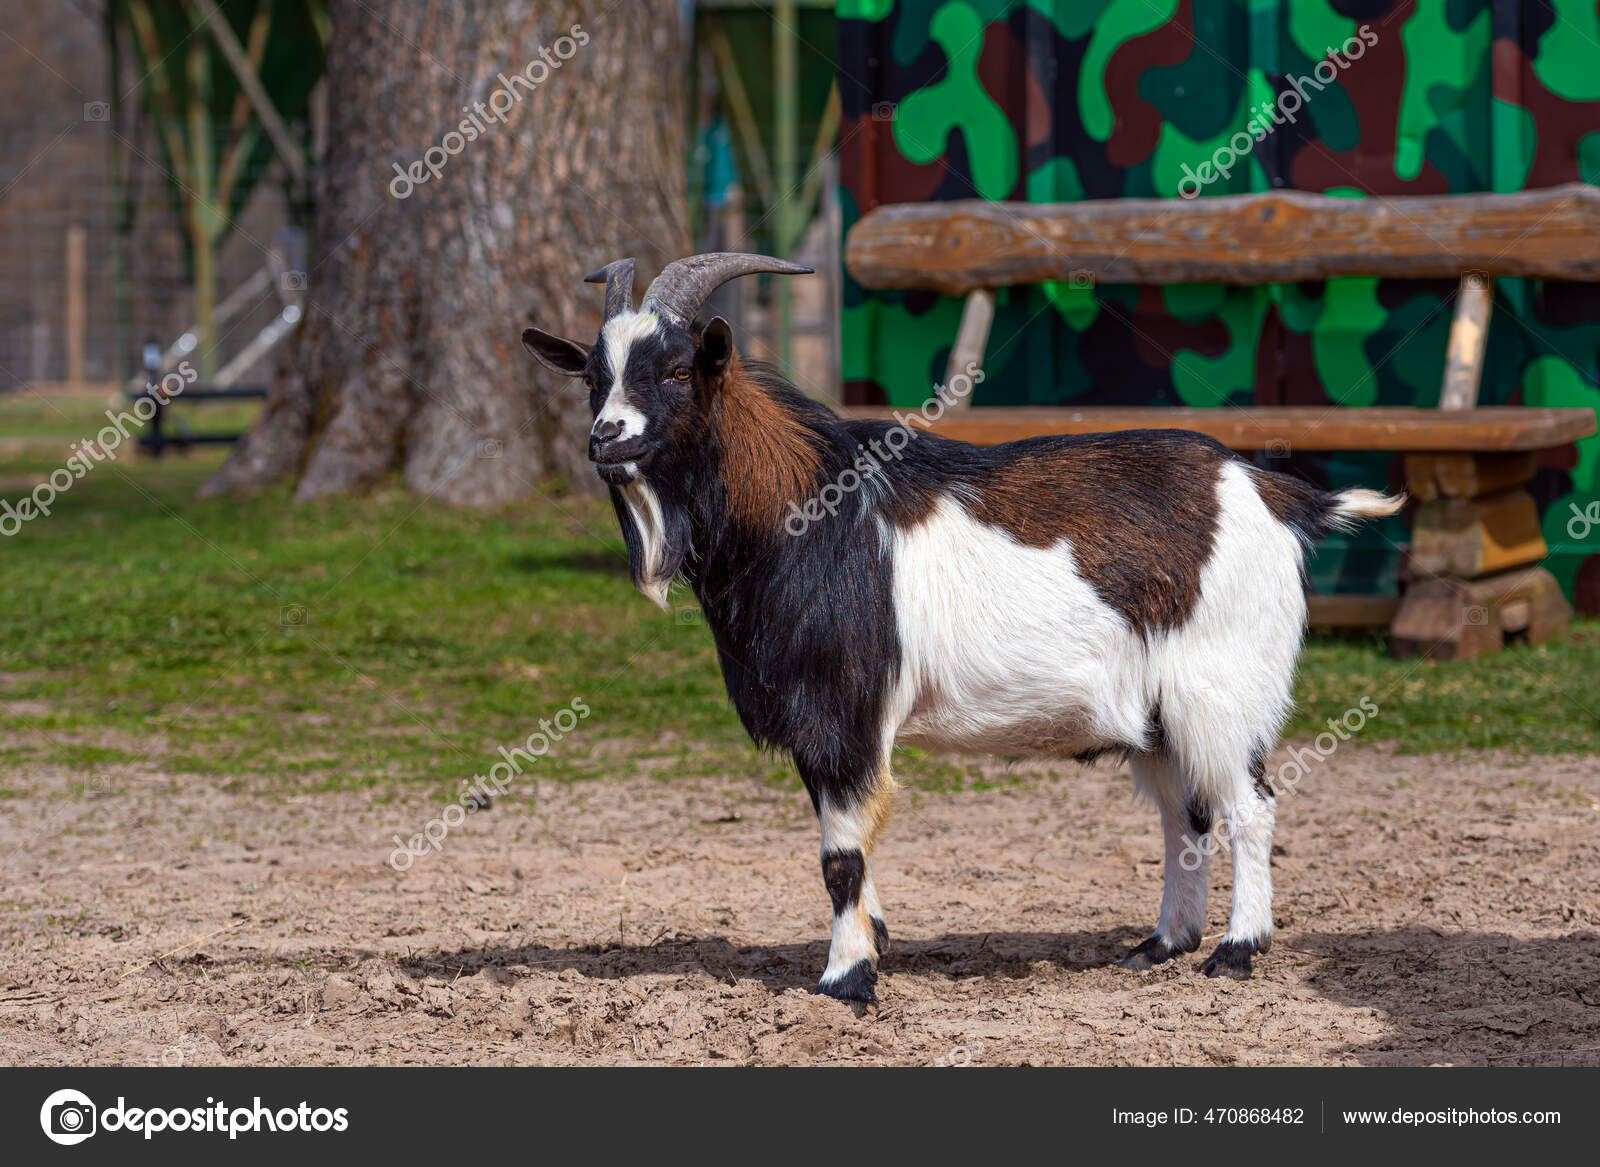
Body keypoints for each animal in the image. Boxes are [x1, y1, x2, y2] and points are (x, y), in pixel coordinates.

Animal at [522, 253, 1403, 1005]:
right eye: (594, 376)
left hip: (1220, 686)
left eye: (676, 369)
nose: (607, 436)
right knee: (1182, 813)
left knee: (1248, 807)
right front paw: (874, 939)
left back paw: (1237, 949)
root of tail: (1272, 492)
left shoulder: (843, 709)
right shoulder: (818, 727)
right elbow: (849, 842)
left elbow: (841, 853)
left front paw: (846, 978)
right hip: (1158, 714)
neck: (800, 508)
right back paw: (1161, 944)